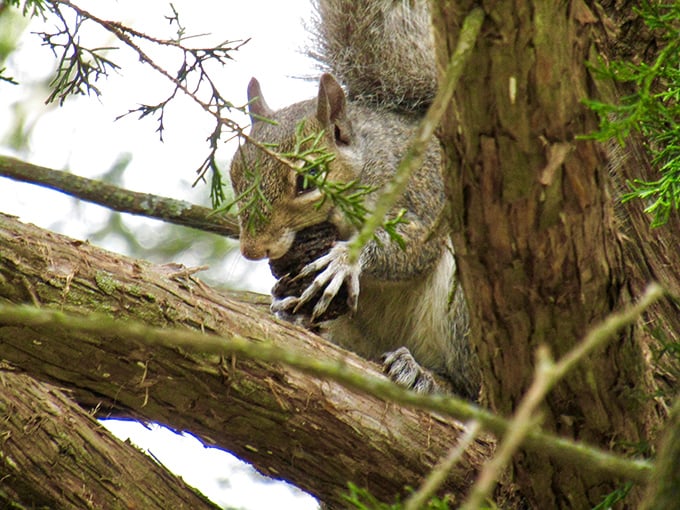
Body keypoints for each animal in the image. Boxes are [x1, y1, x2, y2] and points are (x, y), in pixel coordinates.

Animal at [229, 0, 480, 400]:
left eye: (307, 180)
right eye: (234, 172)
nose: (253, 250)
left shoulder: (422, 194)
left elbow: (413, 249)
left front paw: (346, 259)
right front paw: (280, 299)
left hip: (462, 313)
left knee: (471, 387)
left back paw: (425, 375)